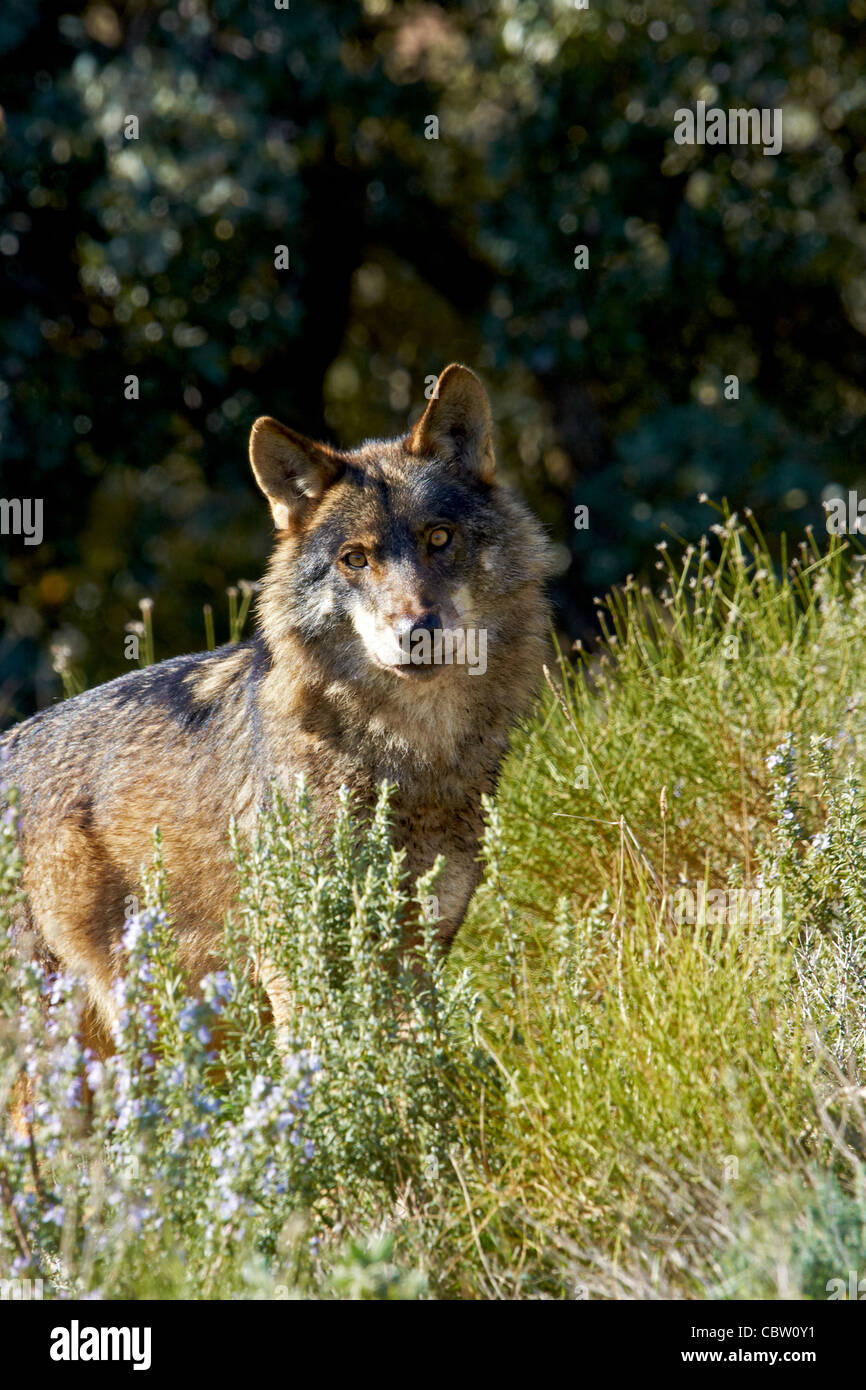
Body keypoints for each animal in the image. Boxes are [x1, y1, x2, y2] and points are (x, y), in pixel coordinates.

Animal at [1, 365, 551, 1051]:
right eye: (355, 558)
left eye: (439, 538)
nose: (417, 631)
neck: (408, 757)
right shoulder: (297, 961)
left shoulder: (419, 950)